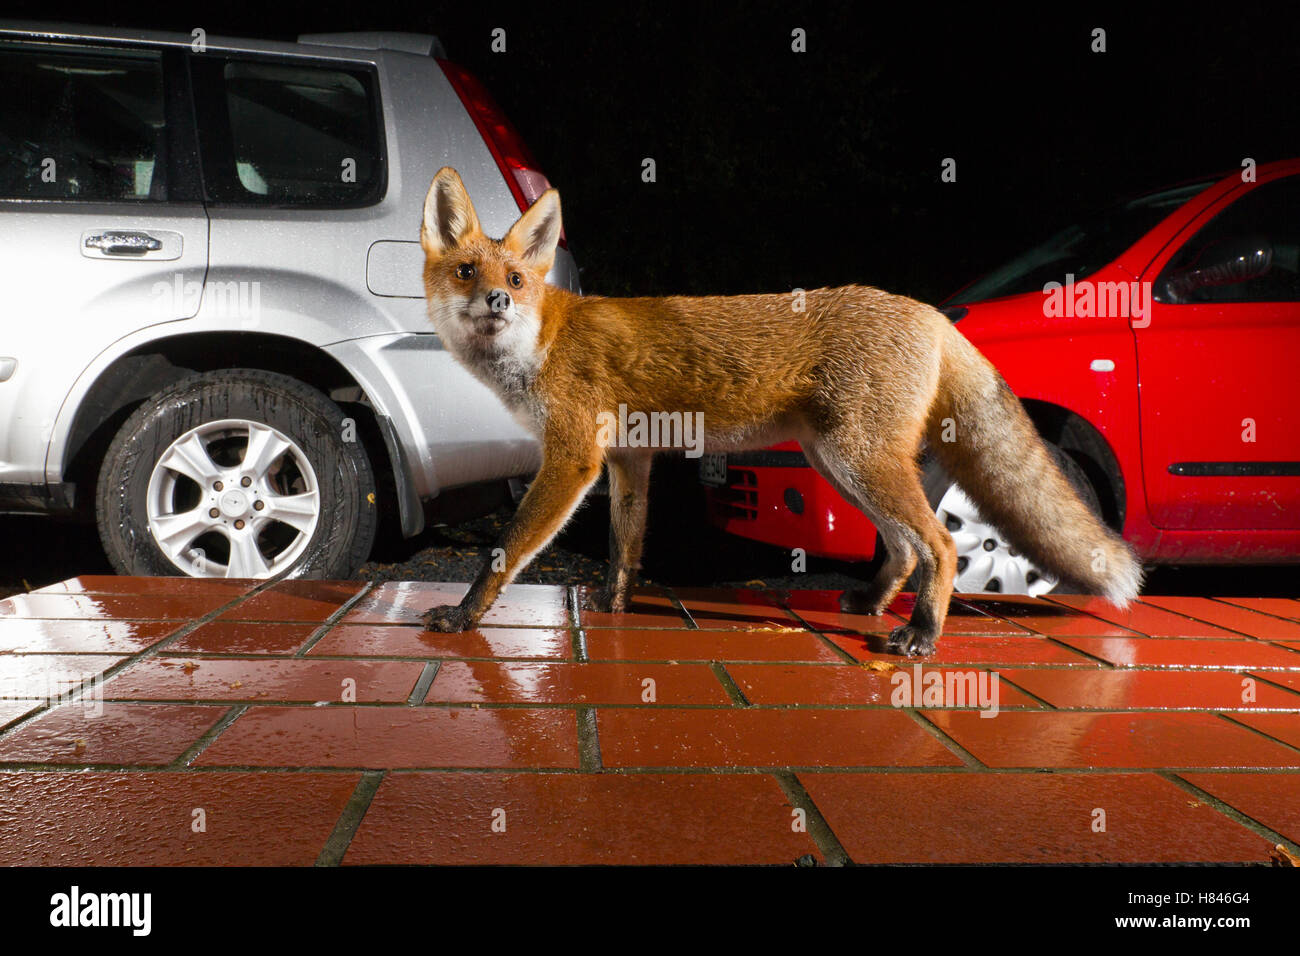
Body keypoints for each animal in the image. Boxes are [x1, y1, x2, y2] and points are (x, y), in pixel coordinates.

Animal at [417, 167, 1143, 656]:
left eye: (515, 280)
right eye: (466, 273)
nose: (496, 302)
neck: (544, 340)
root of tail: (931, 311)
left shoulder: (573, 457)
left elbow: (506, 551)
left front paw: (464, 617)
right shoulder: (629, 456)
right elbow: (625, 546)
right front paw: (613, 608)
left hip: (857, 461)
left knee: (937, 544)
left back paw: (922, 633)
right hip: (840, 464)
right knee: (903, 549)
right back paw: (872, 604)